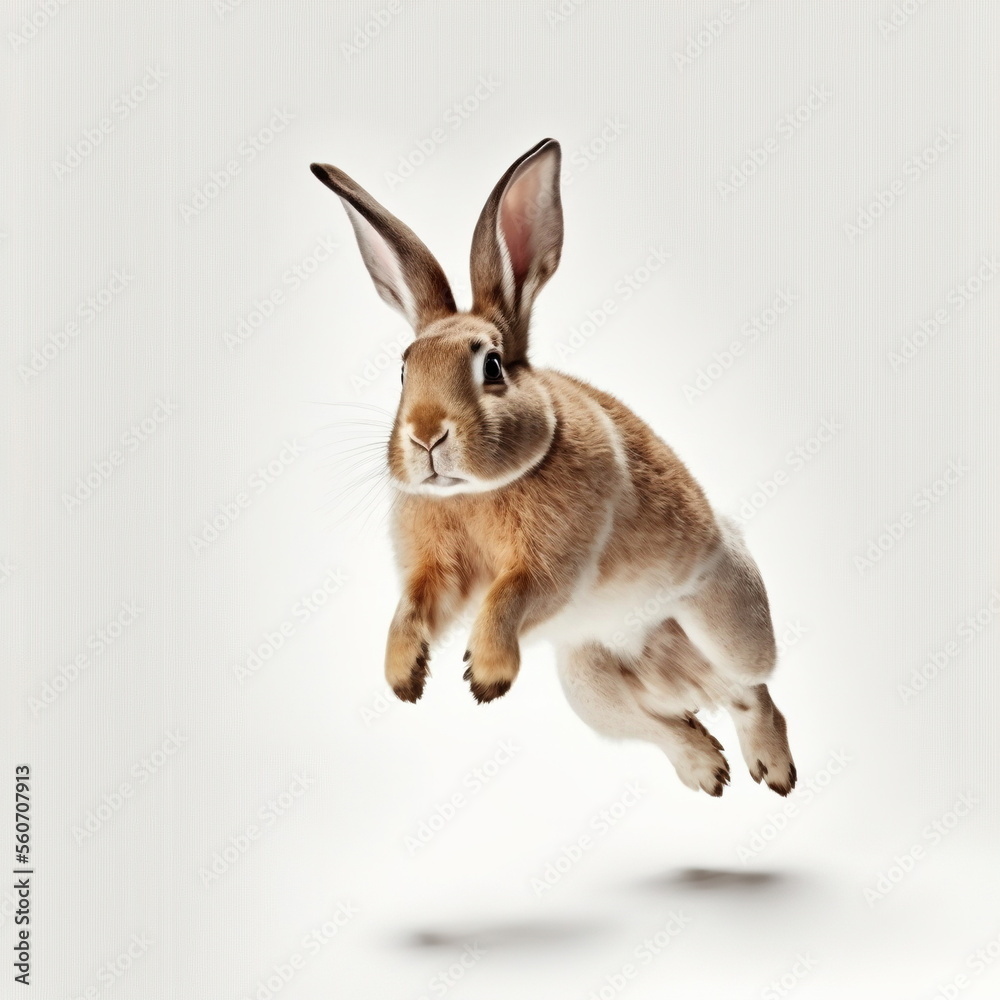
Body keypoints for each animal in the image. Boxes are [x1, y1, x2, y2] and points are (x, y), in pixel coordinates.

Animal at [310, 138, 796, 797]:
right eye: (404, 370)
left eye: (491, 366)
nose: (426, 434)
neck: (474, 491)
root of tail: (687, 675)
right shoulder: (438, 573)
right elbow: (415, 605)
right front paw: (404, 676)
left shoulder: (557, 564)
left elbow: (512, 594)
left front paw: (485, 675)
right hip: (586, 682)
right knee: (670, 724)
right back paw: (708, 770)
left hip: (729, 619)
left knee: (754, 691)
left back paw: (774, 769)